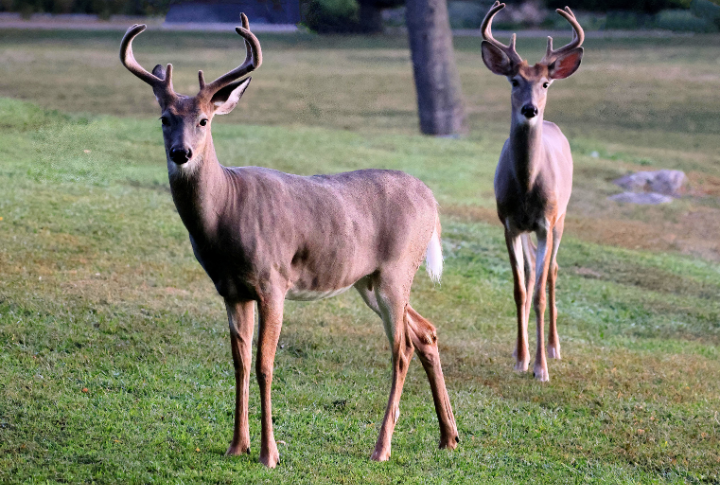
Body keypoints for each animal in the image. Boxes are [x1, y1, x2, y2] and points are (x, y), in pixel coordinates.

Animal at [118, 14, 458, 467]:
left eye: (204, 120)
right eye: (164, 118)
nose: (181, 153)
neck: (226, 211)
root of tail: (432, 201)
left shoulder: (272, 281)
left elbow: (265, 364)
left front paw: (268, 453)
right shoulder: (231, 290)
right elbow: (240, 363)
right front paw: (236, 445)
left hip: (396, 270)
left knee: (401, 348)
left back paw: (381, 447)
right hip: (368, 281)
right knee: (426, 332)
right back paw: (449, 437)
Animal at [479, 2, 584, 382]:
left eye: (545, 83)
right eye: (515, 81)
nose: (530, 109)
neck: (526, 187)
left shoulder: (545, 222)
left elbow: (538, 293)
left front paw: (540, 367)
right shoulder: (509, 223)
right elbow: (519, 289)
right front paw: (521, 358)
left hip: (562, 217)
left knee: (551, 272)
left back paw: (552, 347)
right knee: (529, 273)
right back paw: (520, 348)